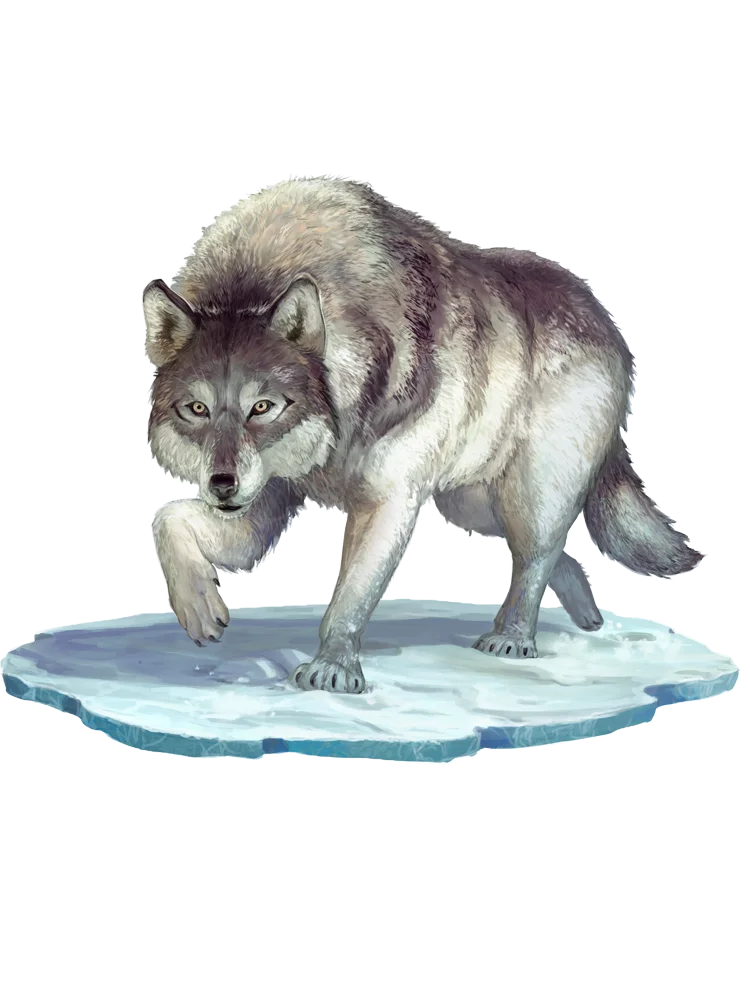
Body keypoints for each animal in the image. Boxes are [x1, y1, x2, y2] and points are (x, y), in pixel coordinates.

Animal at [143, 178, 702, 694]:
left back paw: (515, 637)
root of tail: (603, 315)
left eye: (262, 407)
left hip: (531, 494)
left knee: (538, 552)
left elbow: (350, 595)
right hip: (469, 505)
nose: (221, 484)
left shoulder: (388, 500)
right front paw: (199, 609)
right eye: (197, 409)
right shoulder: (273, 493)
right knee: (549, 554)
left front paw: (333, 669)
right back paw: (587, 612)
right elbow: (168, 519)